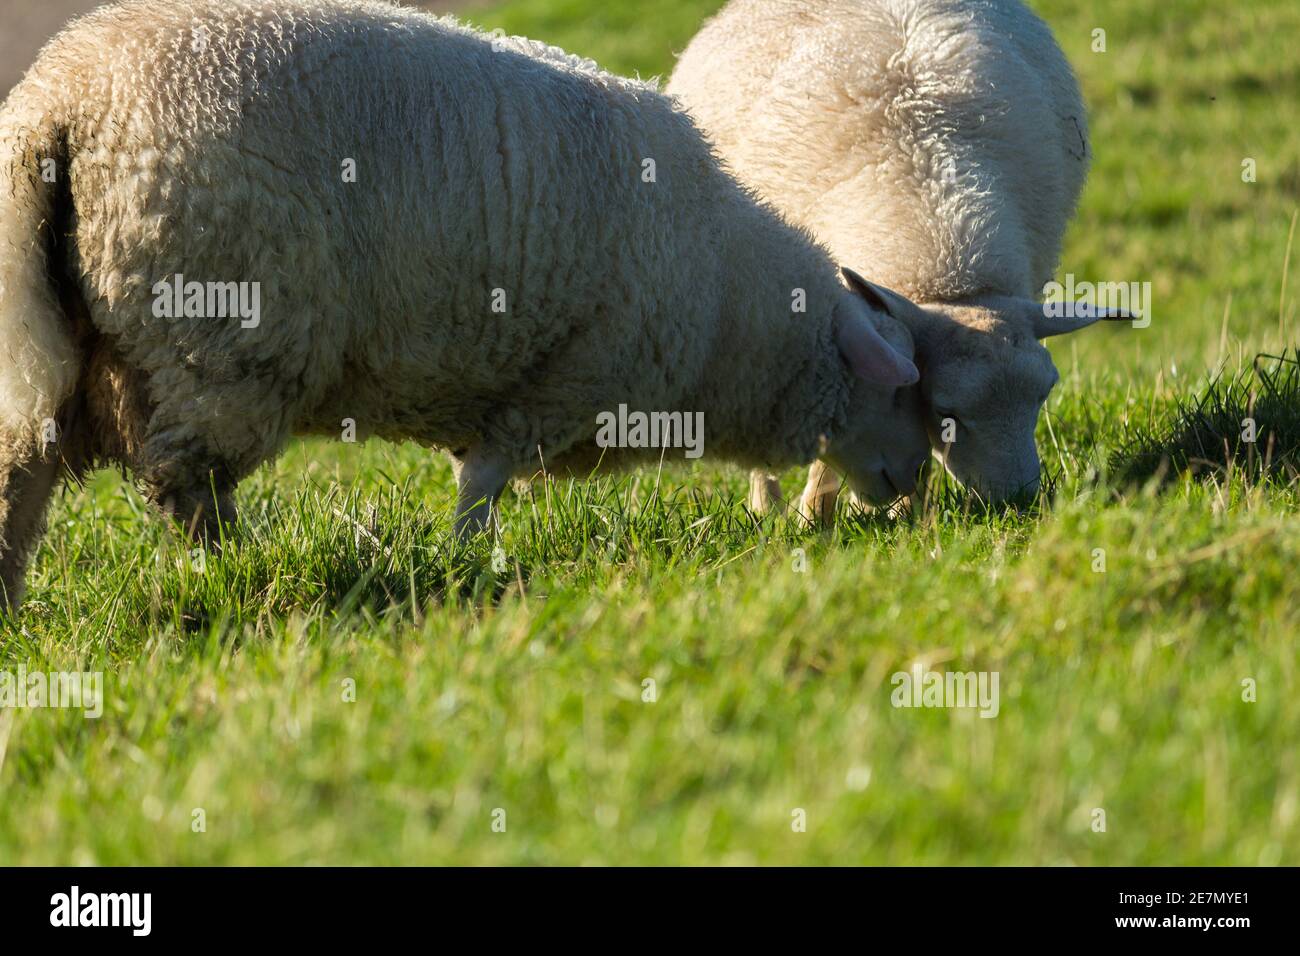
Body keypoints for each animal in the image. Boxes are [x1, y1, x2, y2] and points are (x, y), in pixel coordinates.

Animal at [0, 0, 932, 606]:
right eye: (897, 391)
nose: (917, 503)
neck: (726, 308)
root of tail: (62, 97)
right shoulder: (559, 377)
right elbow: (485, 479)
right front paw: (470, 563)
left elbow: (475, 471)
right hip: (221, 335)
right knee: (185, 483)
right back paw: (242, 572)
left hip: (70, 334)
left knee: (24, 469)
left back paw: (14, 602)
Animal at [667, 0, 1131, 516]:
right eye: (947, 411)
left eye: (1044, 394)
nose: (1019, 501)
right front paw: (816, 517)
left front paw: (904, 512)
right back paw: (767, 505)